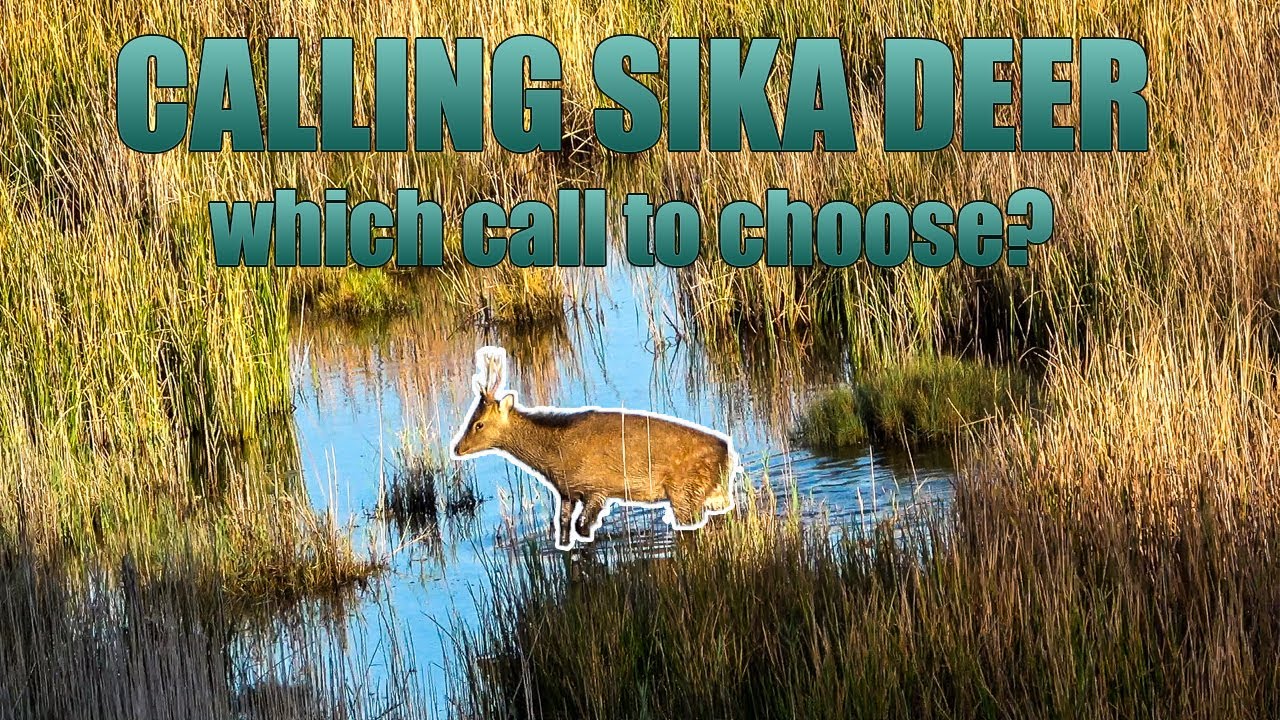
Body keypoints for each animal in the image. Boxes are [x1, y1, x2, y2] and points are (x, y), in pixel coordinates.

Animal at [450, 346, 739, 550]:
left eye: (478, 424)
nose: (457, 448)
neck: (553, 456)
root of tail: (728, 453)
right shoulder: (566, 490)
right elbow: (563, 526)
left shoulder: (596, 487)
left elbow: (582, 527)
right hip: (710, 494)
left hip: (683, 491)